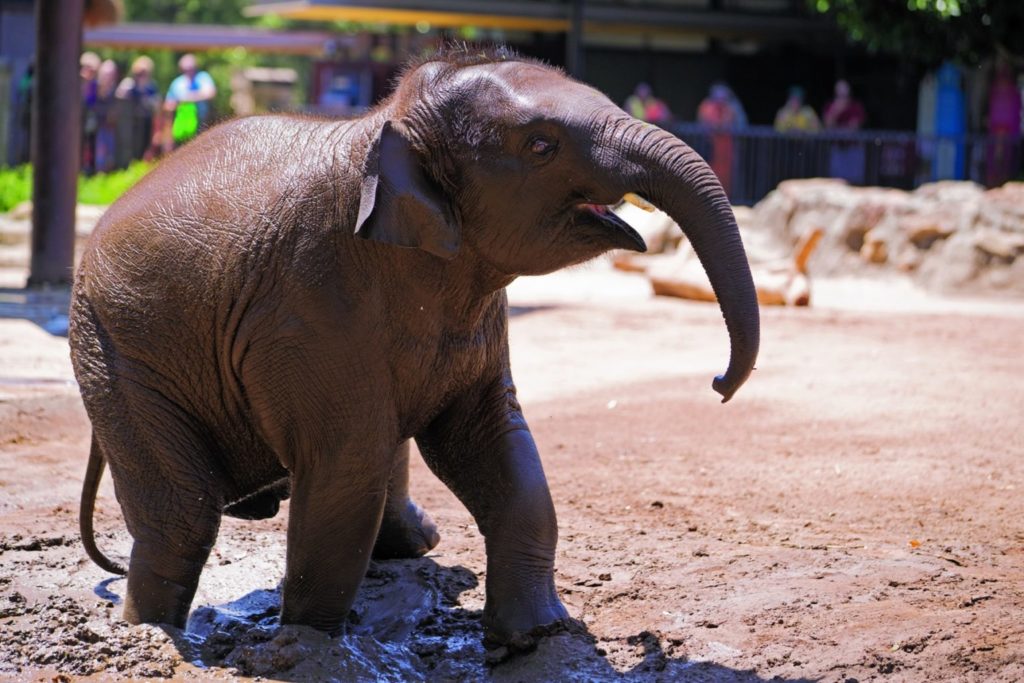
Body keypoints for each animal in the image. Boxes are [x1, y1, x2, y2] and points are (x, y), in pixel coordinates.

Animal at [71, 47, 760, 648]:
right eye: (541, 145)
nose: (719, 385)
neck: (385, 128)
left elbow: (496, 445)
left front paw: (538, 635)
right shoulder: (307, 303)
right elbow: (347, 465)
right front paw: (312, 648)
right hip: (115, 350)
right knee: (184, 516)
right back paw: (149, 632)